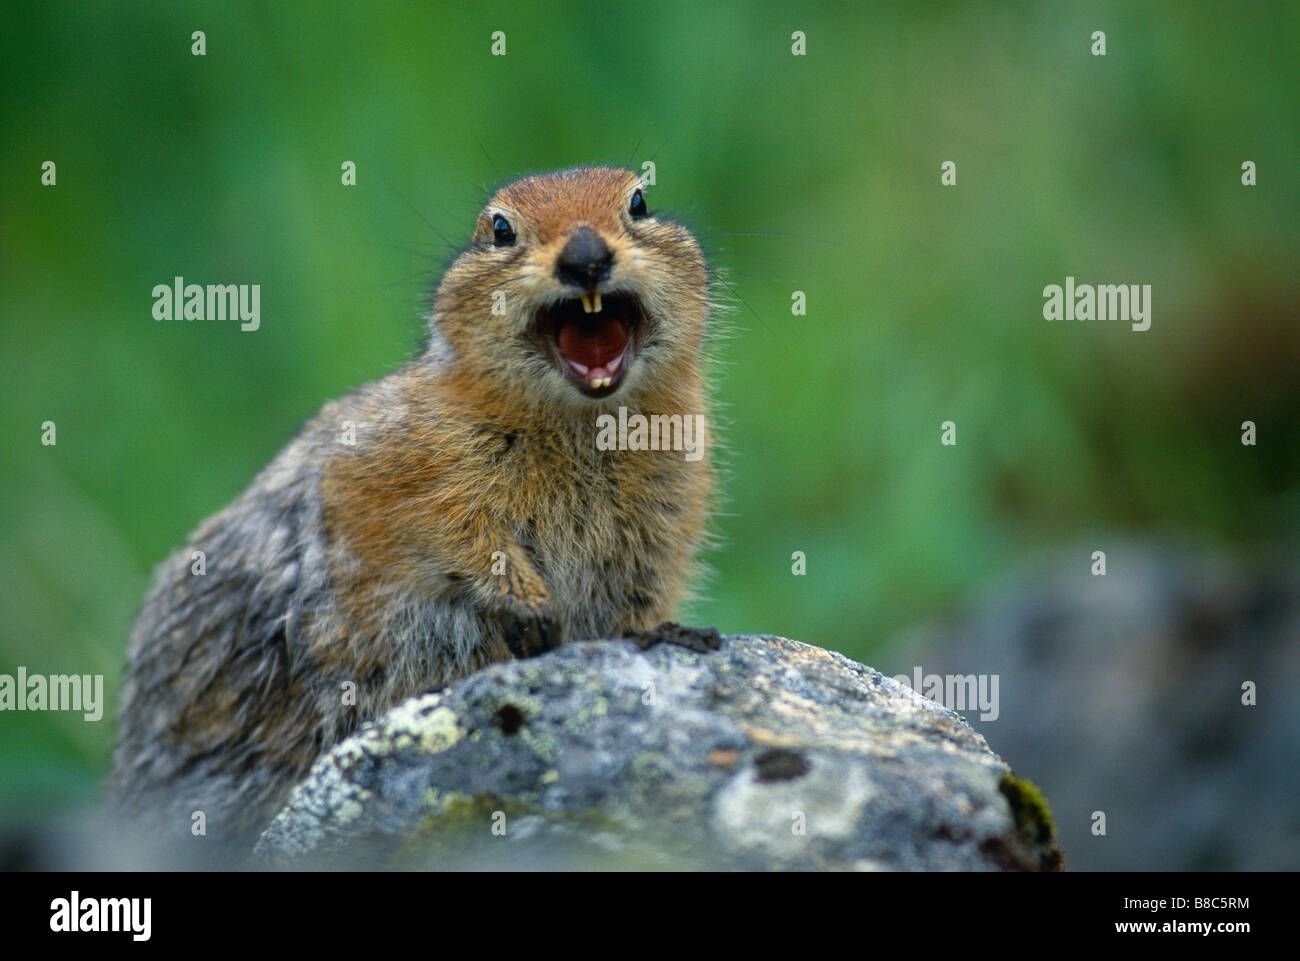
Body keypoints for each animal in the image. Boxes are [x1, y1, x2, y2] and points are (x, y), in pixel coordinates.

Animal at [108, 167, 716, 847]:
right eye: (499, 229)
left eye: (639, 202)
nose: (586, 255)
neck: (586, 426)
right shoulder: (393, 458)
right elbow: (437, 523)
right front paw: (525, 605)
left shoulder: (666, 510)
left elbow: (635, 594)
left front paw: (665, 631)